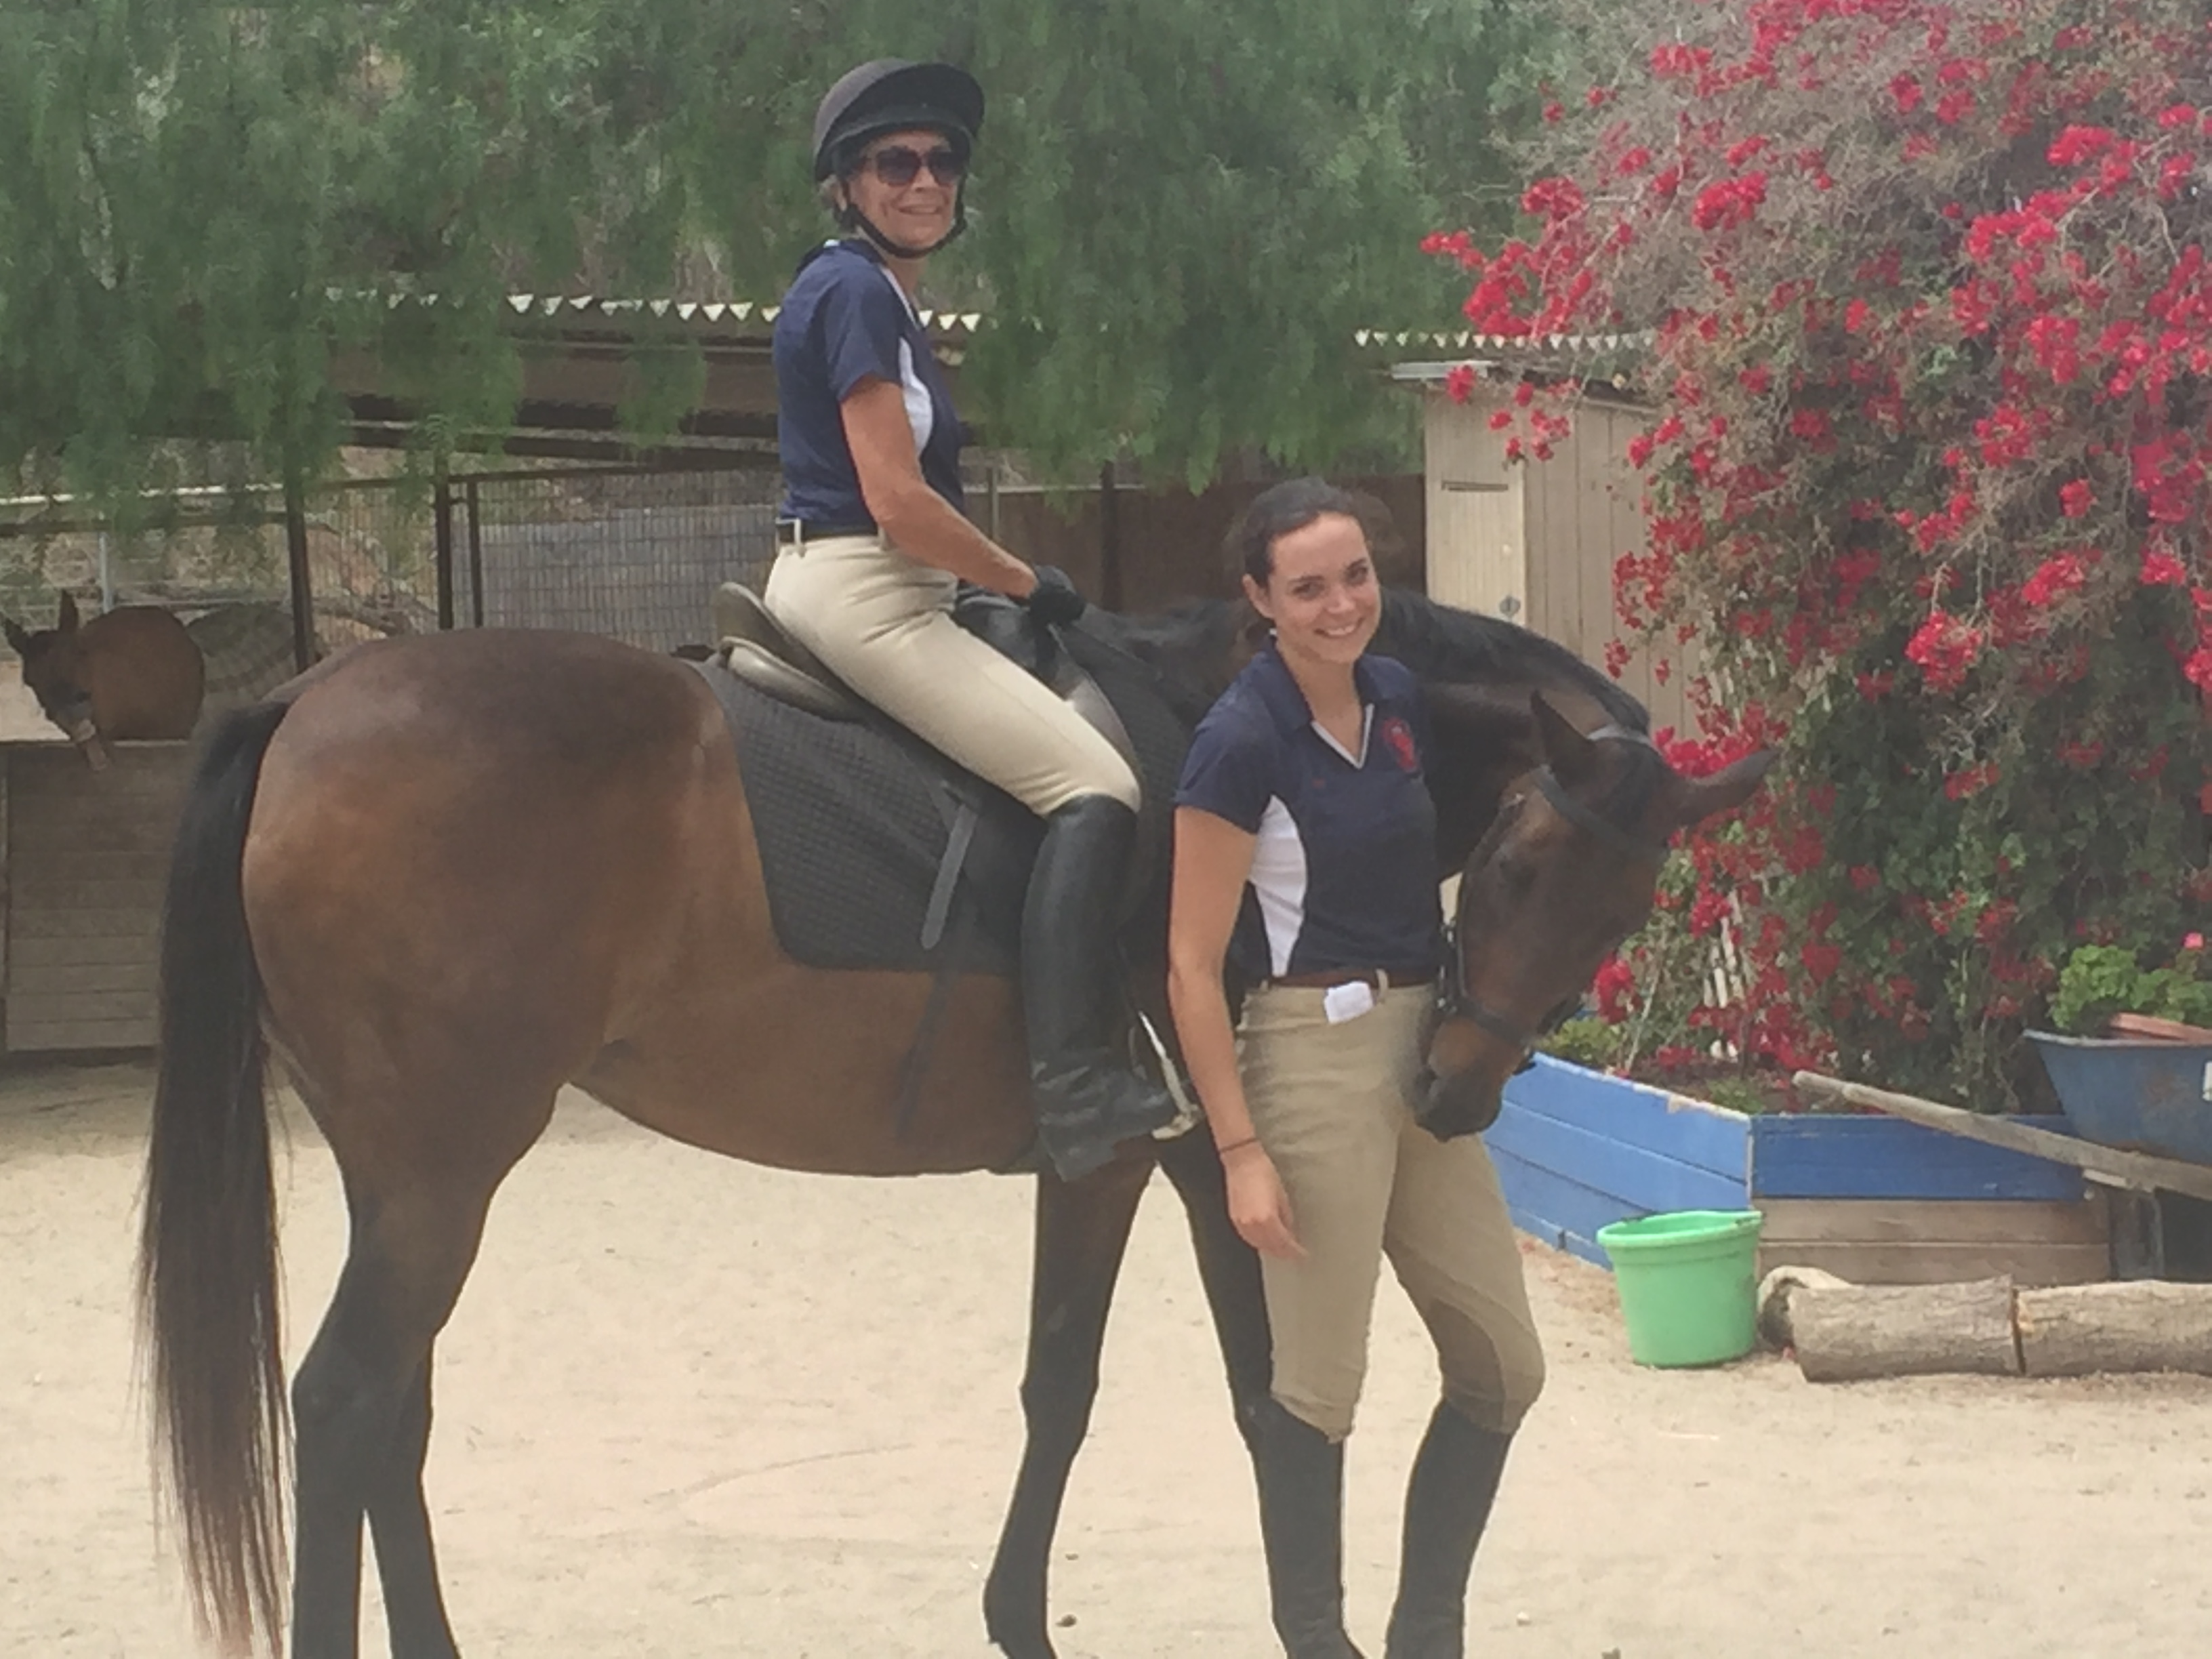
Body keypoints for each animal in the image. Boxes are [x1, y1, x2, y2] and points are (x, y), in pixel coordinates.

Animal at [137, 587, 1772, 1658]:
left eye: (1615, 918)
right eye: (1511, 867)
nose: (1453, 1093)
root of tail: (308, 701)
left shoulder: (1103, 1165)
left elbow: (1060, 1387)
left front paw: (1016, 1623)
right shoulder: (1203, 1158)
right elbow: (1266, 1404)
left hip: (413, 1179)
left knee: (387, 1413)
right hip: (439, 1177)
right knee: (344, 1401)